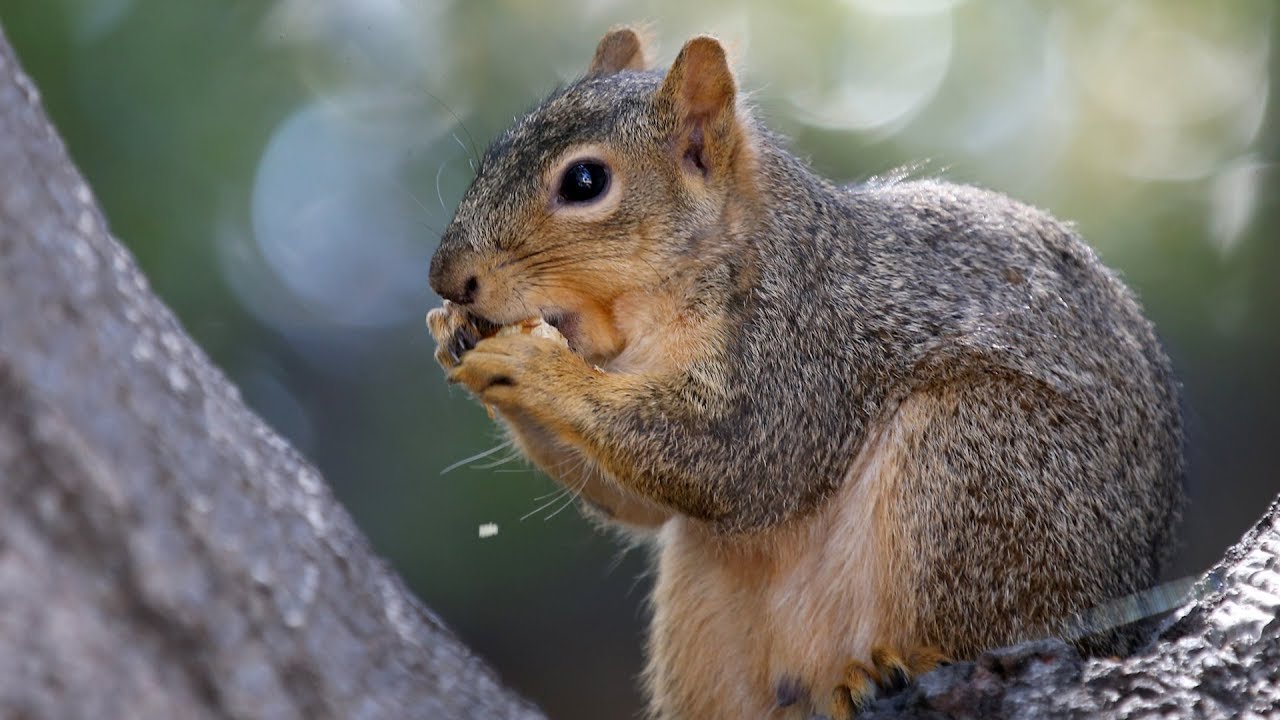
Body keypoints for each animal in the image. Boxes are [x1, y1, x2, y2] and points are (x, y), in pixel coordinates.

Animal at [425, 28, 1185, 720]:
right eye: (496, 152)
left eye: (585, 182)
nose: (447, 279)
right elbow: (644, 507)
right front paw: (456, 338)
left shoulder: (803, 345)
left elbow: (737, 458)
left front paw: (532, 362)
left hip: (979, 461)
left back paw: (894, 667)